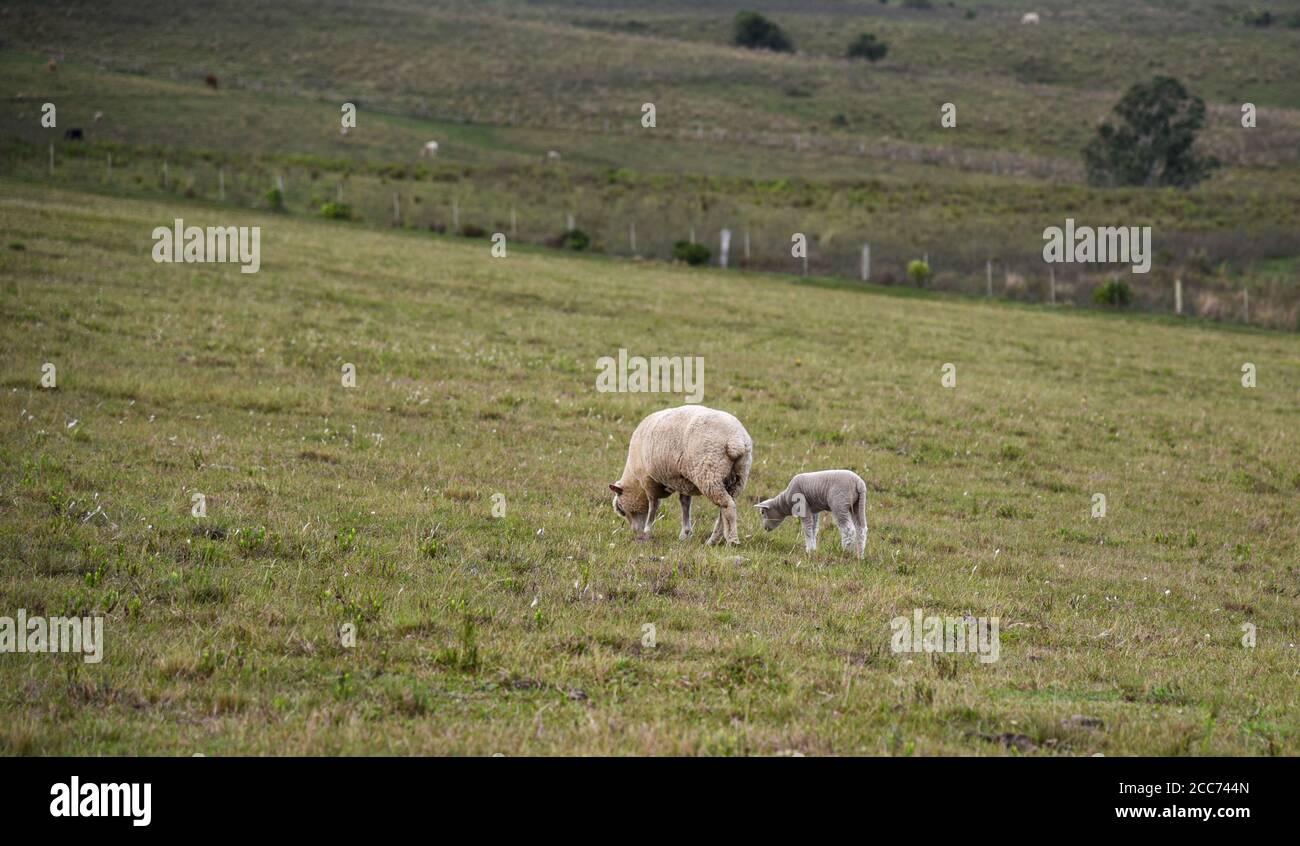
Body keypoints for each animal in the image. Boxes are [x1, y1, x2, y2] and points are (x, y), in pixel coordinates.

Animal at [609, 405, 753, 546]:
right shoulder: (684, 482)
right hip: (738, 477)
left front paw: (647, 530)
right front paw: (685, 533)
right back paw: (713, 540)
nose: (635, 532)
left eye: (621, 510)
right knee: (725, 509)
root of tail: (735, 440)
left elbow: (653, 505)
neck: (635, 481)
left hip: (709, 475)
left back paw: (732, 541)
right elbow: (685, 504)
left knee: (728, 506)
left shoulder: (649, 480)